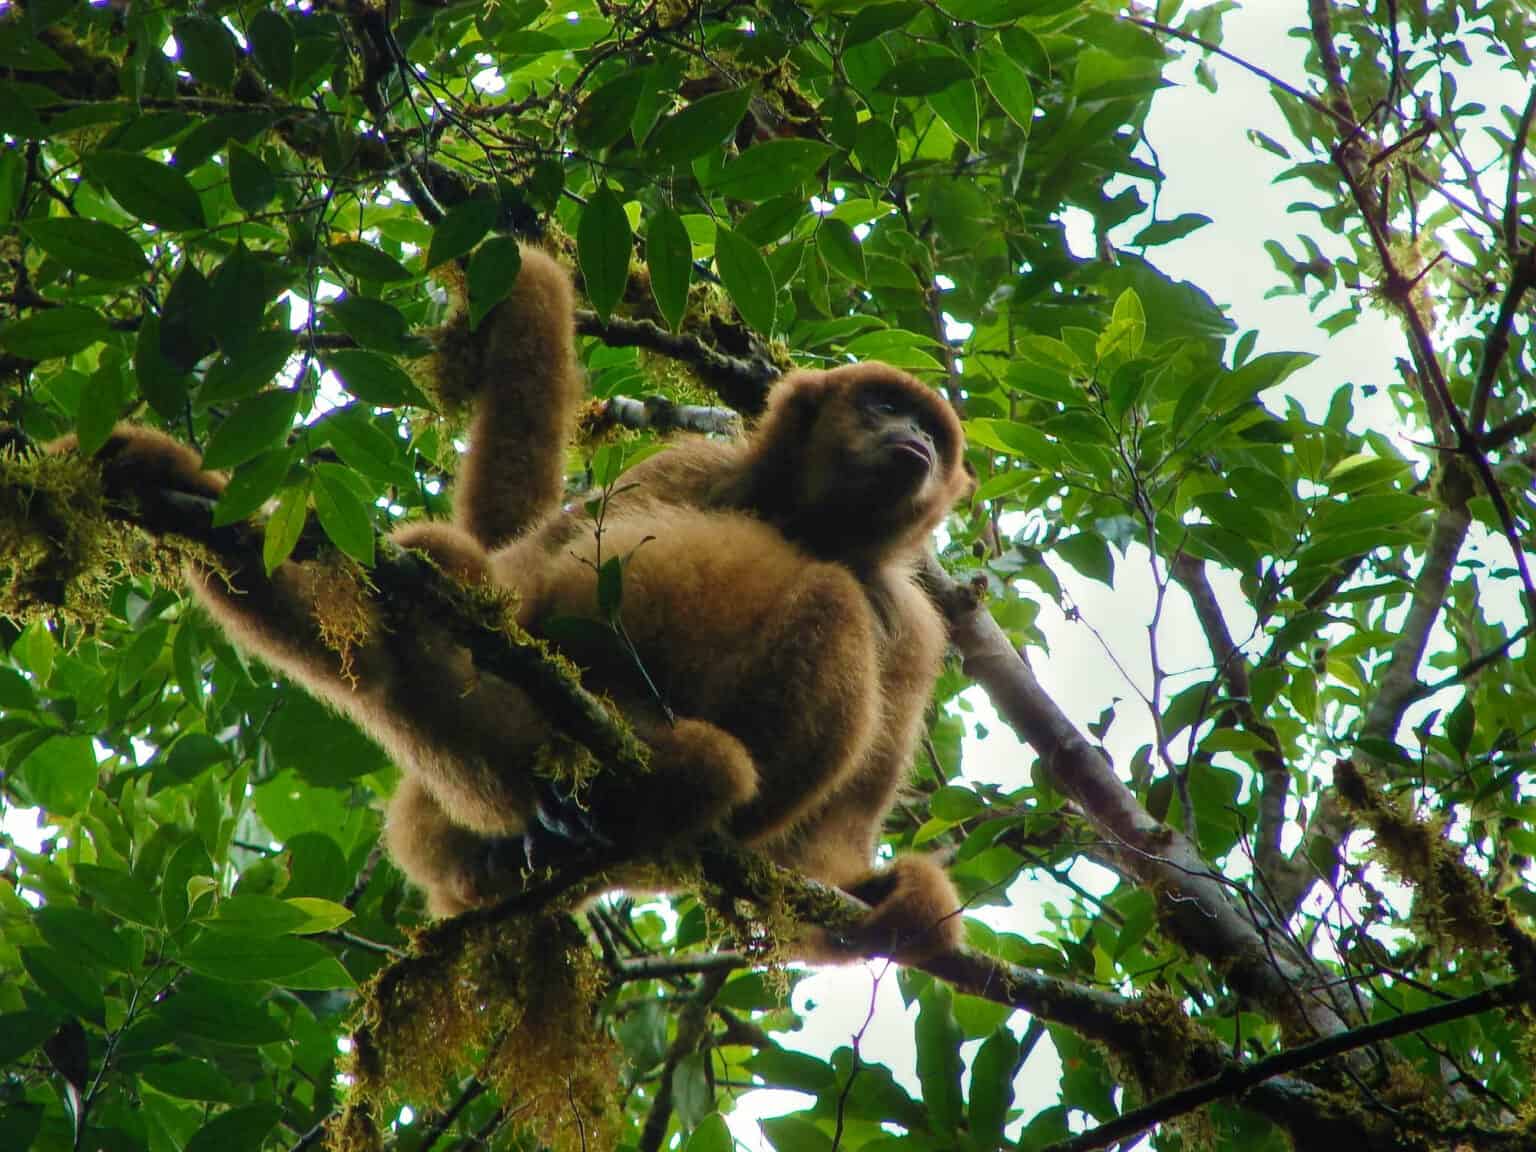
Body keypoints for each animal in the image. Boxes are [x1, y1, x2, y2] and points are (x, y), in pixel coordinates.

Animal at [62, 245, 972, 962]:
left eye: (931, 429)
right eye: (885, 406)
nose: (918, 443)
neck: (810, 520)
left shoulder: (912, 619)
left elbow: (831, 836)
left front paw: (877, 897)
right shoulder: (693, 465)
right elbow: (539, 567)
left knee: (833, 606)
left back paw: (663, 793)